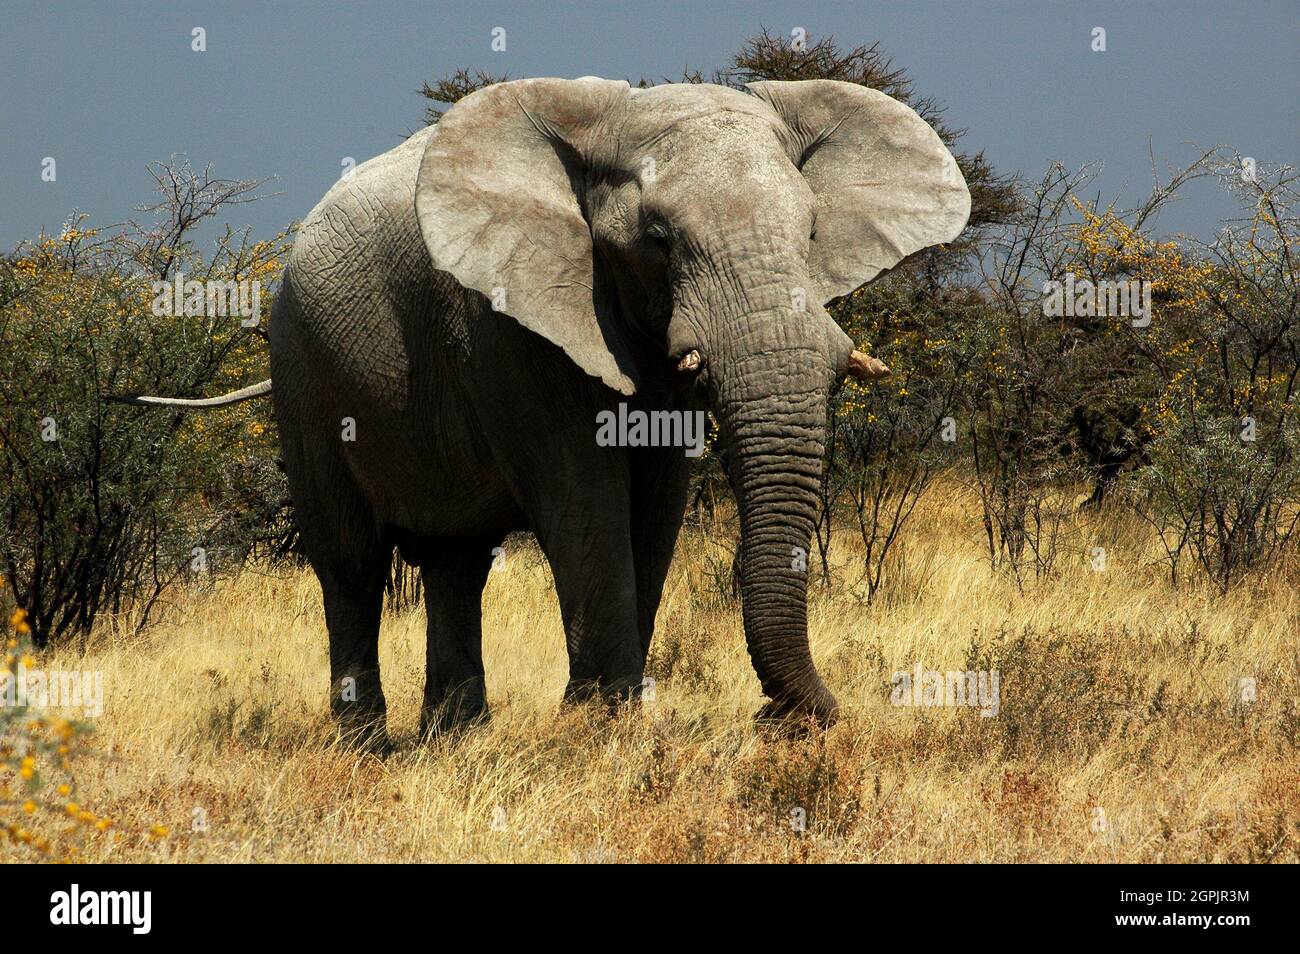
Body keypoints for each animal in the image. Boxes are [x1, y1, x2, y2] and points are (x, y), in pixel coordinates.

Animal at [127, 77, 969, 750]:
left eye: (812, 232)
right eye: (657, 240)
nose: (783, 718)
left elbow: (655, 506)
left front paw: (612, 720)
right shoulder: (506, 320)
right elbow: (583, 498)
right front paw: (599, 731)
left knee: (456, 561)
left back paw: (457, 738)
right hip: (303, 370)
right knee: (352, 561)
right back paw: (364, 747)